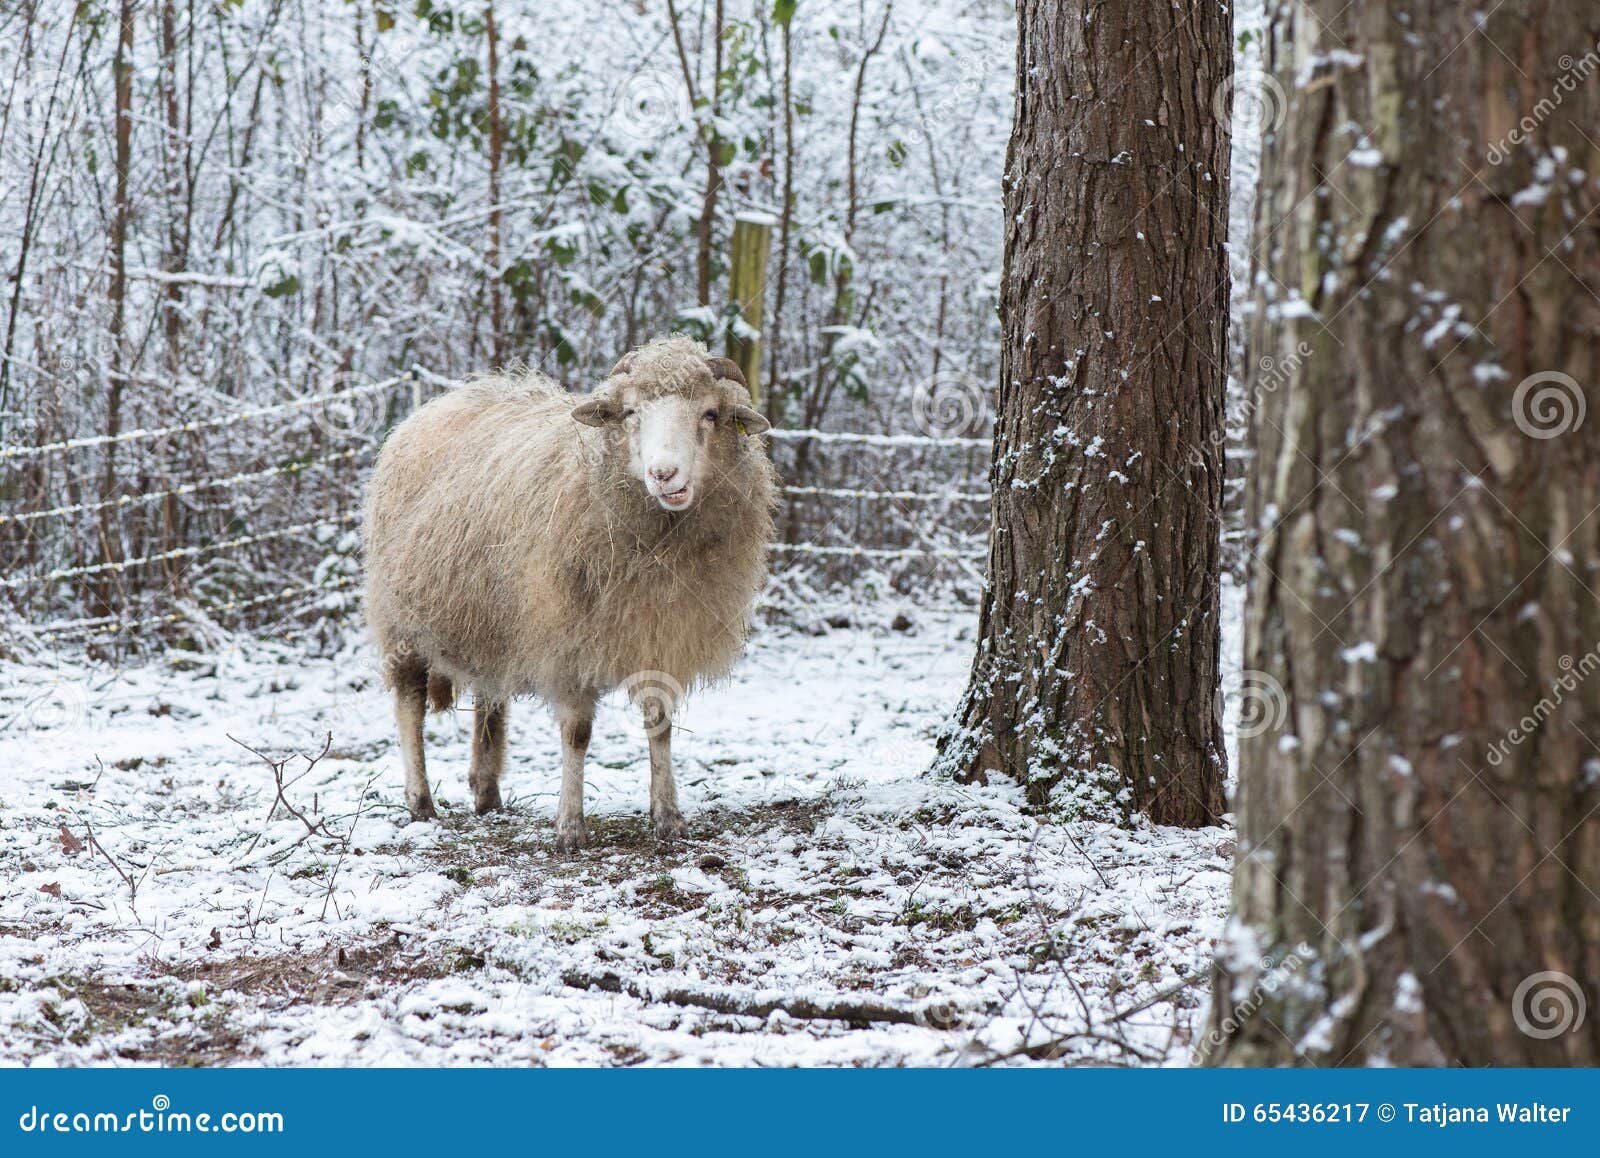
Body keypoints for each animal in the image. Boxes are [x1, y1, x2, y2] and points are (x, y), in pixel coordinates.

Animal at [362, 335, 775, 850]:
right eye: (630, 412)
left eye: (711, 414)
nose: (664, 474)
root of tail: (443, 401)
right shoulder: (567, 641)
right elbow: (577, 733)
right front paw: (570, 826)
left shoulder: (660, 633)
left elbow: (659, 726)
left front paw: (668, 817)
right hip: (402, 620)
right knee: (409, 706)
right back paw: (421, 803)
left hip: (490, 616)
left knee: (488, 696)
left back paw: (486, 792)